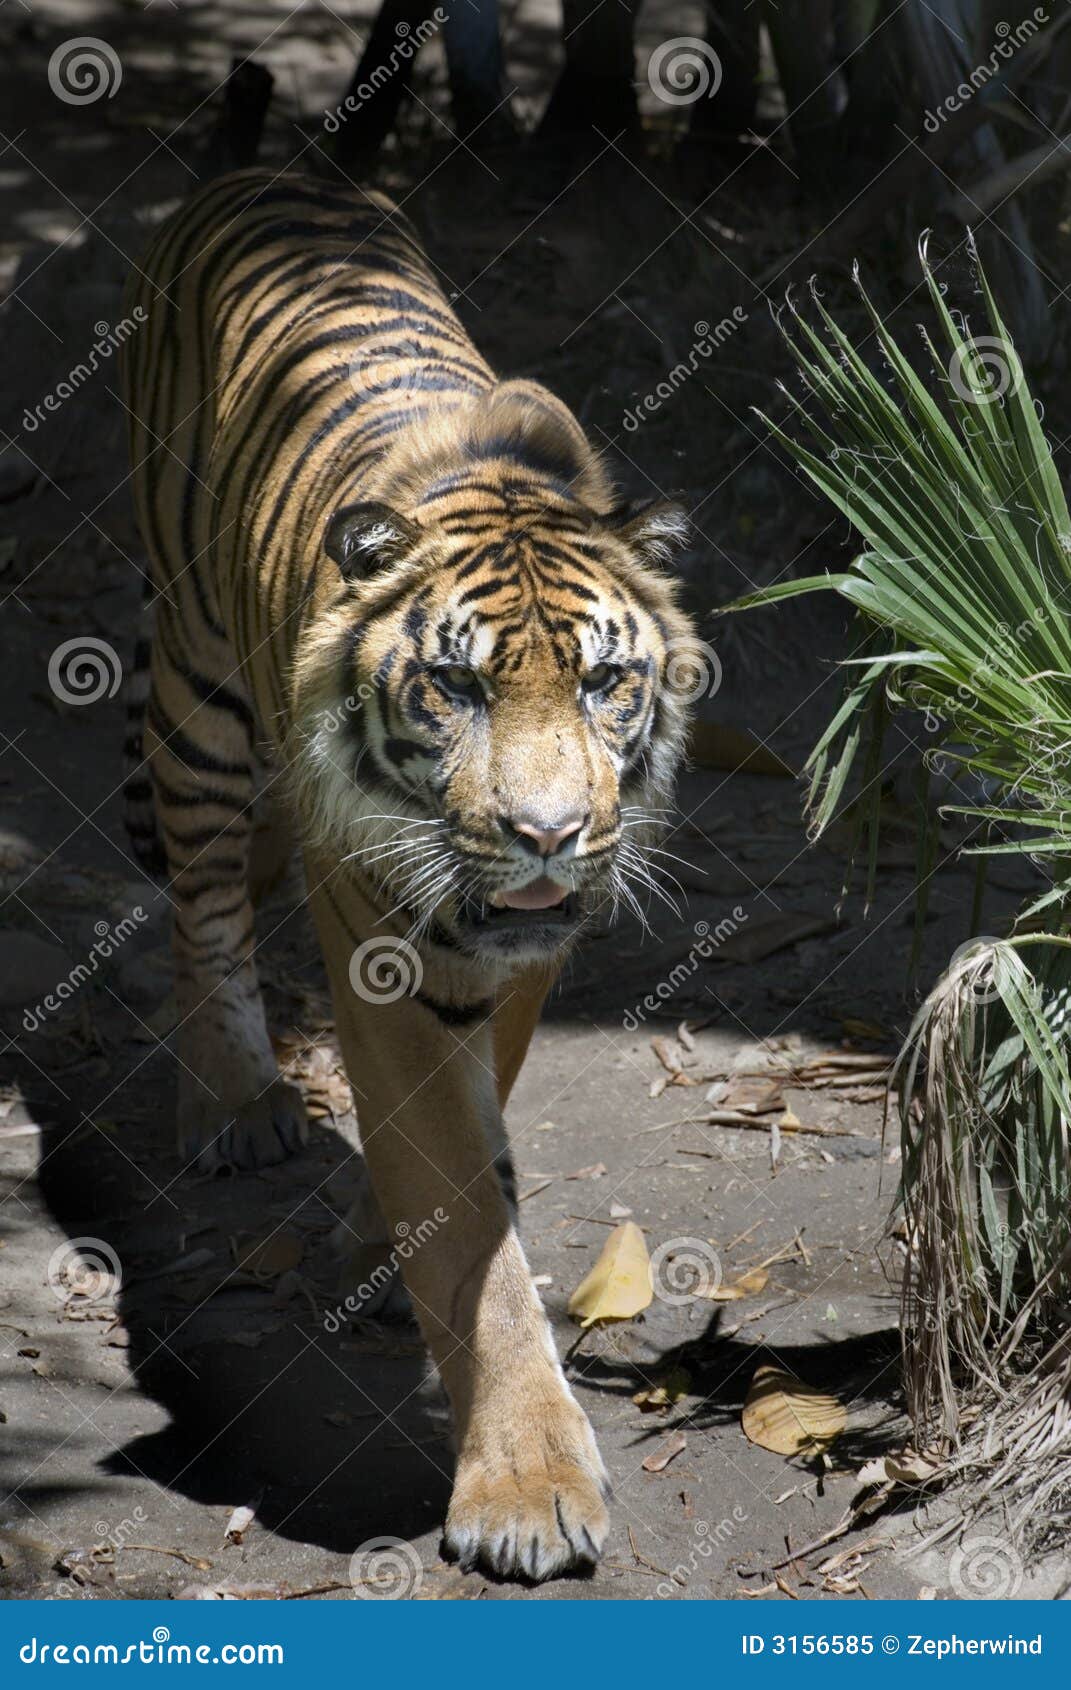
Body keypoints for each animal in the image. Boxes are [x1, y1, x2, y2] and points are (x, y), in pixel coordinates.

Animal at [119, 166, 700, 1582]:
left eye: (605, 682)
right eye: (456, 686)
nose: (548, 833)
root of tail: (269, 168)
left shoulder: (525, 954)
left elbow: (482, 1108)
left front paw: (378, 1244)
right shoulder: (385, 956)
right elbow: (465, 1214)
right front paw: (529, 1490)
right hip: (197, 691)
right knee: (205, 903)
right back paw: (234, 1101)